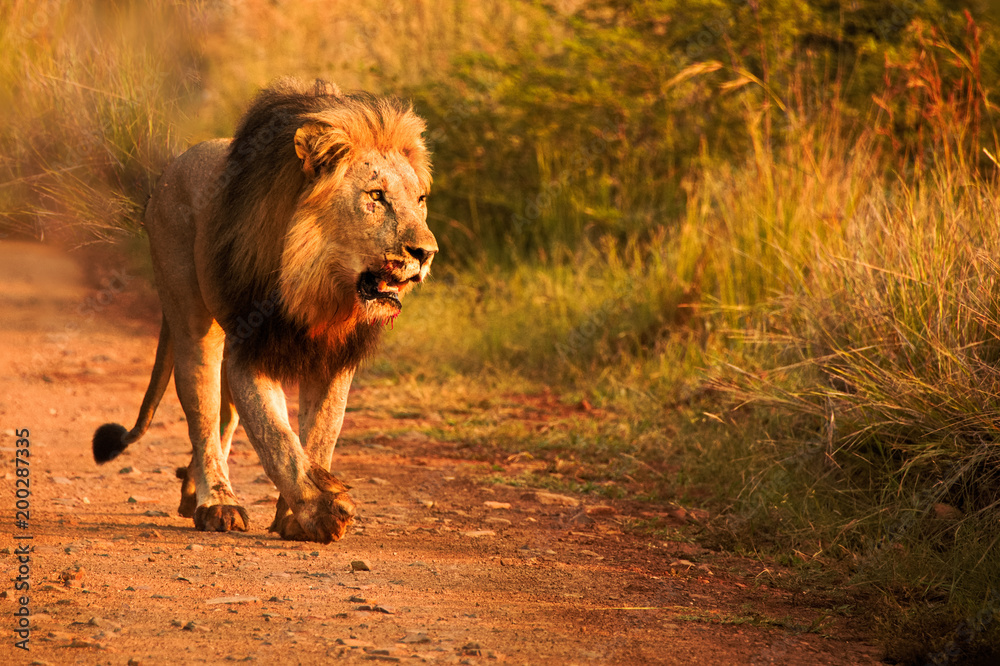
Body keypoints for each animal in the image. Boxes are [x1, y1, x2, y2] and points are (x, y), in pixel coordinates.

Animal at [91, 78, 437, 543]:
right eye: (376, 196)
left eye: (420, 199)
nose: (426, 253)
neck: (321, 286)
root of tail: (170, 169)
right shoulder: (252, 349)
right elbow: (278, 439)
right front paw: (322, 509)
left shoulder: (333, 361)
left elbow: (319, 437)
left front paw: (296, 516)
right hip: (193, 322)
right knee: (203, 418)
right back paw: (217, 502)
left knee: (224, 418)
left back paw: (192, 493)